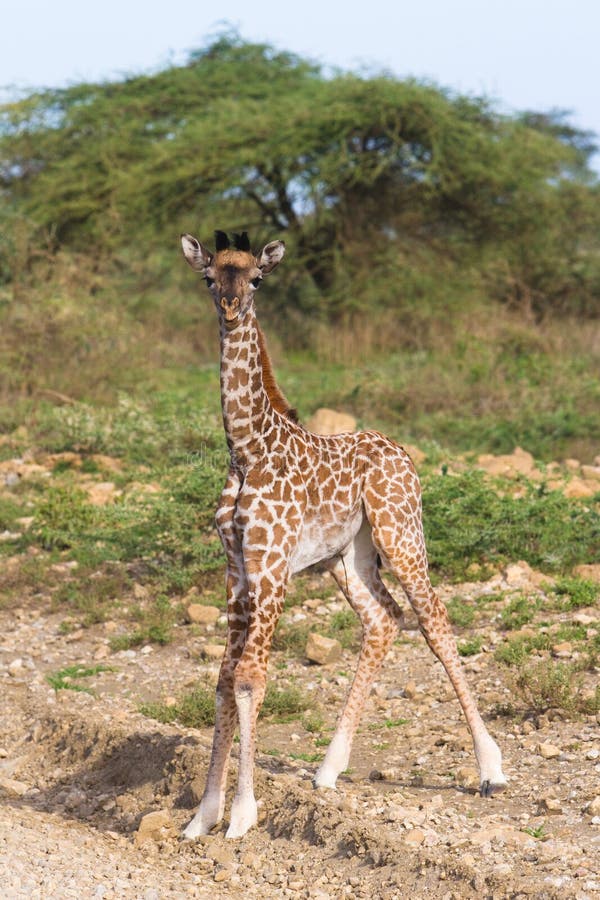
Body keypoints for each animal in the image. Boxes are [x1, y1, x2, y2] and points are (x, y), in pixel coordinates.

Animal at [180, 229, 507, 840]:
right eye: (210, 277)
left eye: (255, 278)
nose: (230, 309)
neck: (246, 450)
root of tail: (403, 452)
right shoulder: (236, 570)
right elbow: (223, 679)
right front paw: (202, 816)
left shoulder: (272, 567)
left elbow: (250, 679)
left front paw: (241, 815)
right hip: (347, 557)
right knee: (384, 619)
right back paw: (329, 769)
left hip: (402, 534)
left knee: (434, 619)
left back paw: (491, 770)